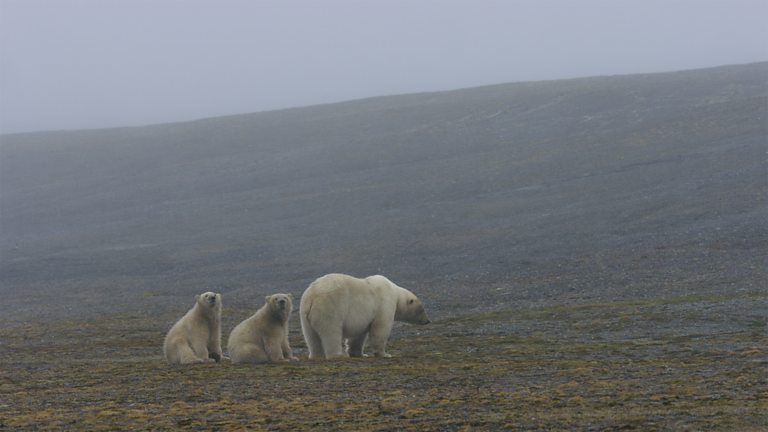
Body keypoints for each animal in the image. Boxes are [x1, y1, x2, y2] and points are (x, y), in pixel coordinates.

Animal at [299, 273, 430, 359]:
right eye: (422, 308)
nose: (427, 321)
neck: (395, 293)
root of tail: (312, 296)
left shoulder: (363, 318)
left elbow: (359, 335)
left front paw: (359, 353)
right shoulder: (384, 304)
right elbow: (380, 328)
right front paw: (385, 354)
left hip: (305, 314)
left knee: (311, 336)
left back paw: (316, 355)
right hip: (330, 307)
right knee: (331, 332)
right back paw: (338, 355)